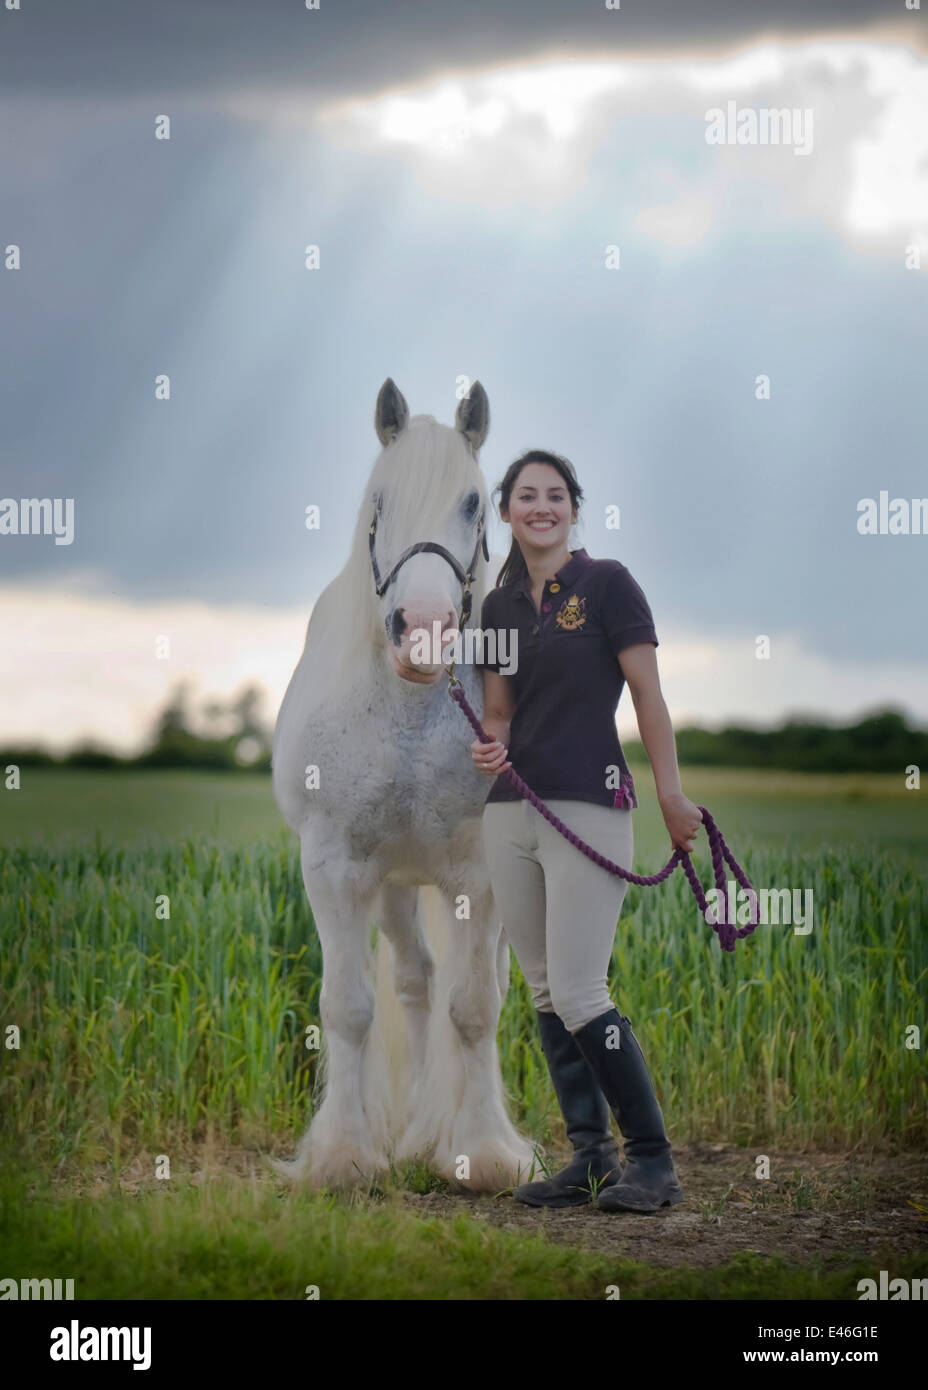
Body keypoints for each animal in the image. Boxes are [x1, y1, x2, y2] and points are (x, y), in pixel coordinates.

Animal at [271, 378, 538, 1191]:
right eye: (379, 503)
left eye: (475, 503)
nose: (421, 628)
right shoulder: (337, 868)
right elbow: (350, 1006)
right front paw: (343, 1156)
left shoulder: (479, 876)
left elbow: (475, 1008)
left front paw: (482, 1152)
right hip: (392, 885)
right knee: (415, 983)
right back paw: (413, 1130)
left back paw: (431, 1134)